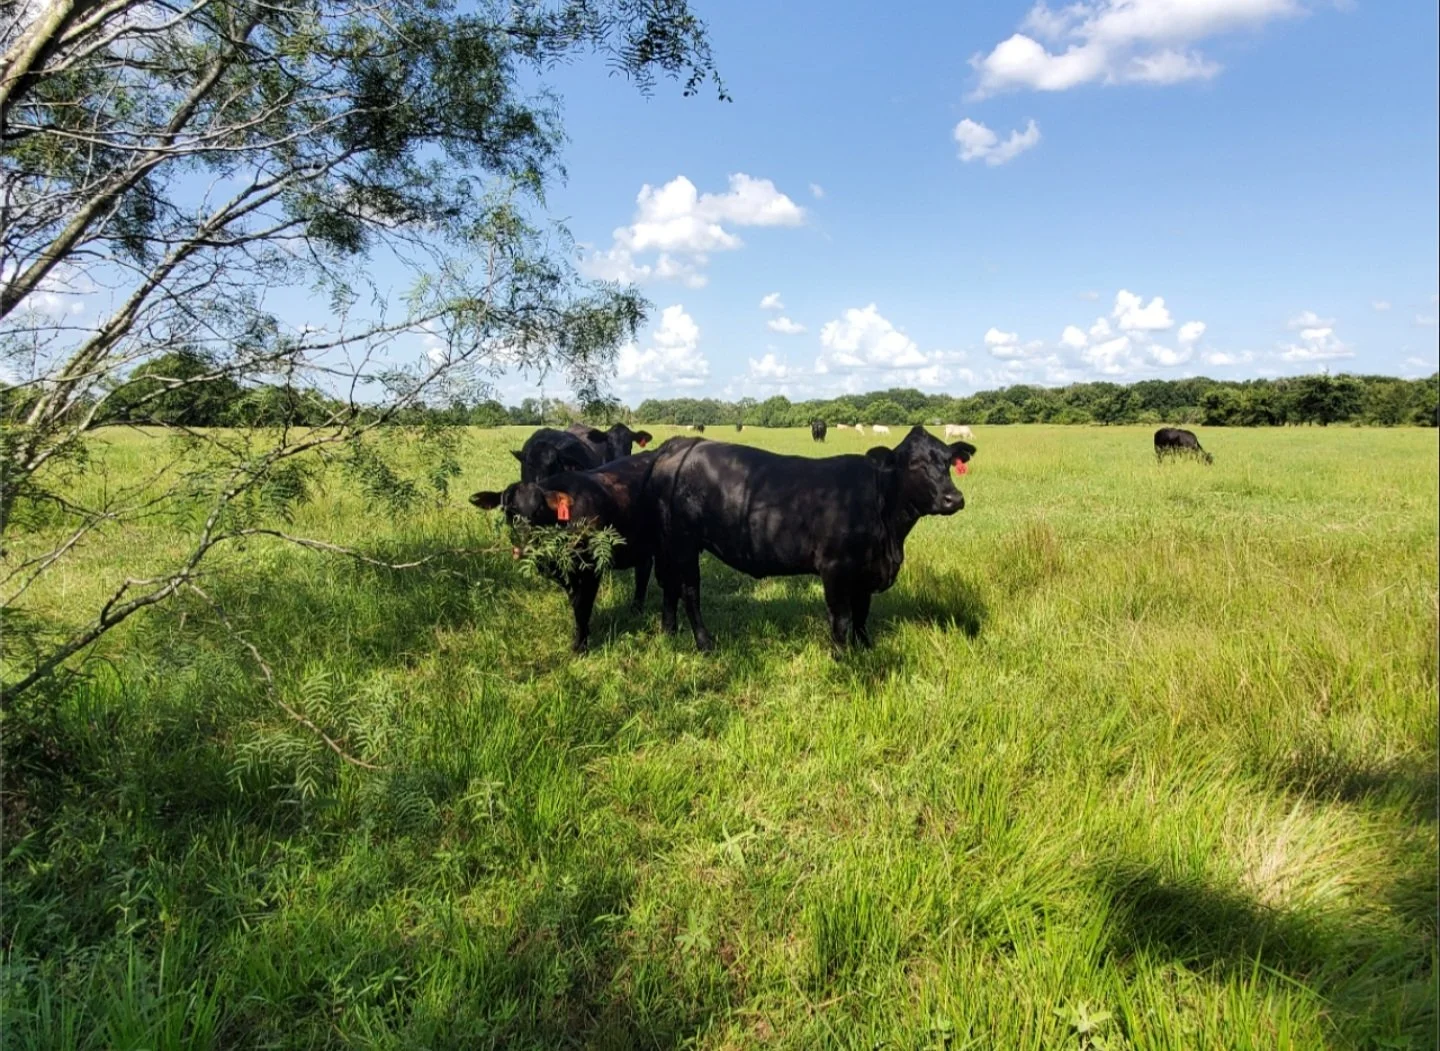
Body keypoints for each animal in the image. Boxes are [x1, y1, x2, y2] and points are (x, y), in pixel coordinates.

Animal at [469, 453, 658, 653]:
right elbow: (576, 603)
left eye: (538, 510)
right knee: (643, 570)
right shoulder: (565, 575)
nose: (525, 545)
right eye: (508, 510)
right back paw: (636, 610)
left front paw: (580, 646)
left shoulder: (591, 569)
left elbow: (583, 606)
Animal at [647, 426, 976, 653]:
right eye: (915, 464)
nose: (954, 498)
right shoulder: (834, 567)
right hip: (684, 544)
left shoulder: (865, 571)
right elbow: (842, 618)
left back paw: (669, 633)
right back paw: (704, 643)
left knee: (670, 587)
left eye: (948, 462)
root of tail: (684, 443)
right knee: (689, 591)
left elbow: (861, 614)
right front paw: (842, 658)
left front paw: (867, 650)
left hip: (671, 544)